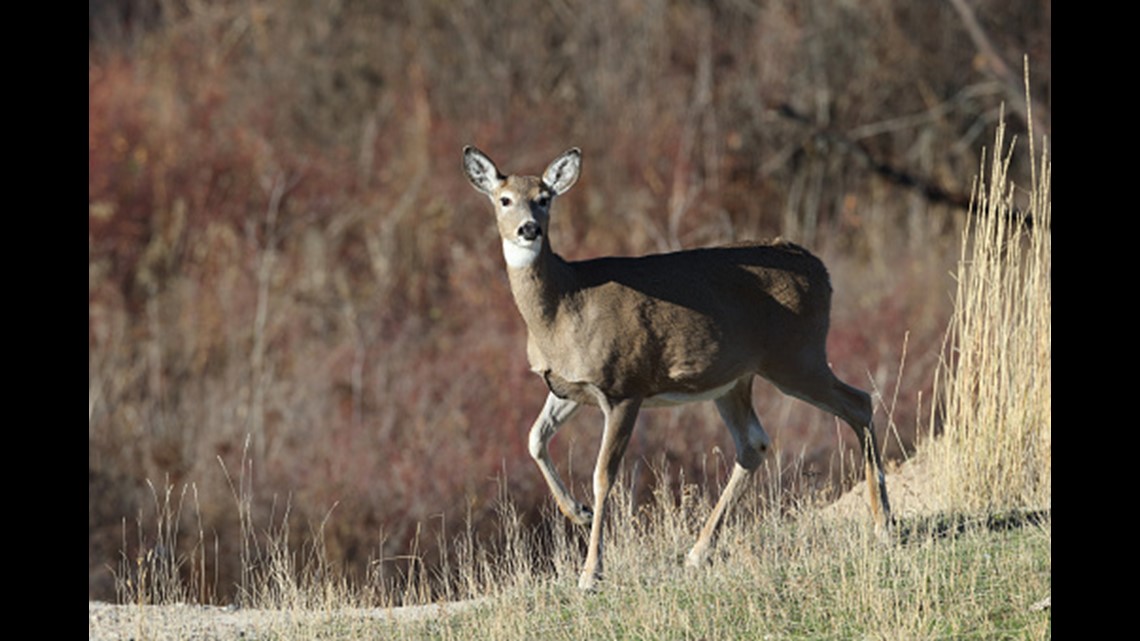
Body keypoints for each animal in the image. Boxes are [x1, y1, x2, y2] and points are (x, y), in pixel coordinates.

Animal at [462, 145, 892, 591]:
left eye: (545, 198)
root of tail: (819, 268)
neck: (564, 306)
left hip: (796, 354)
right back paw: (699, 551)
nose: (529, 229)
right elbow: (534, 439)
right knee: (754, 443)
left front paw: (591, 572)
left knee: (859, 402)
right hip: (736, 378)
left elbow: (603, 476)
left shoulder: (624, 387)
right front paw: (577, 512)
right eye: (504, 199)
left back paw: (883, 525)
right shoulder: (569, 389)